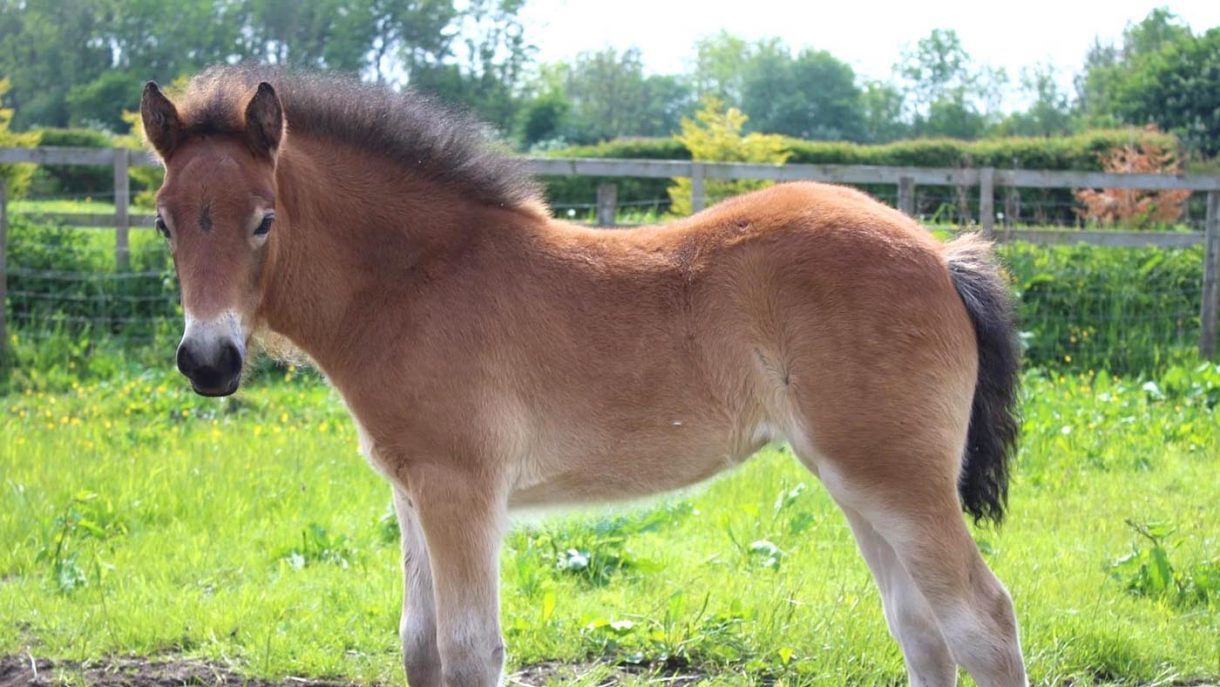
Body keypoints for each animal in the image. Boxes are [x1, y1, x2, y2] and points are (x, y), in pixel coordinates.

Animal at [141, 66, 1026, 687]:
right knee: (920, 627)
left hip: (898, 478)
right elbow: (419, 648)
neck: (417, 278)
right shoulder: (412, 492)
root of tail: (939, 254)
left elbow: (470, 650)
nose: (209, 361)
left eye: (264, 219)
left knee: (981, 621)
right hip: (855, 478)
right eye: (164, 220)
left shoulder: (461, 491)